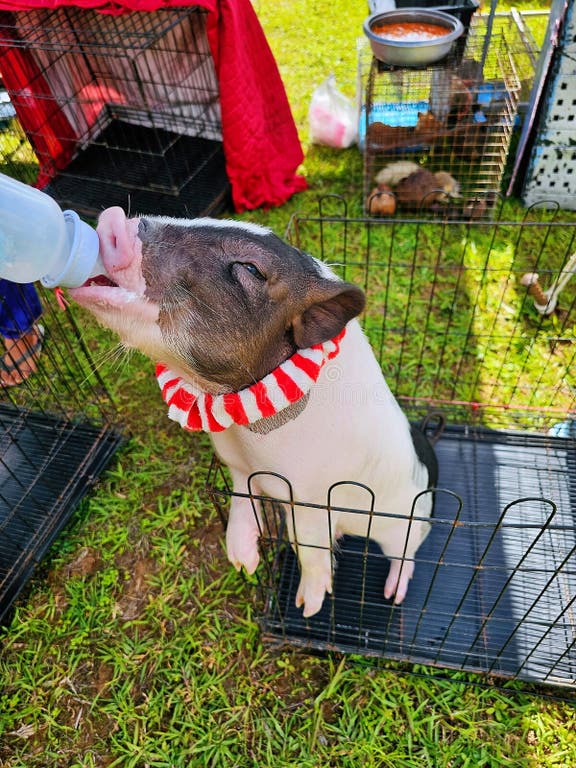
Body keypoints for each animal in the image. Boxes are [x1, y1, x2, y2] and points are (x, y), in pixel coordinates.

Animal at [69, 207, 436, 618]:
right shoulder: (236, 465)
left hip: (408, 525)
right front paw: (242, 562)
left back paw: (393, 594)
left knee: (406, 555)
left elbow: (306, 544)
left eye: (251, 268)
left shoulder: (313, 494)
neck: (249, 440)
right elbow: (241, 496)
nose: (112, 218)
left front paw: (306, 607)